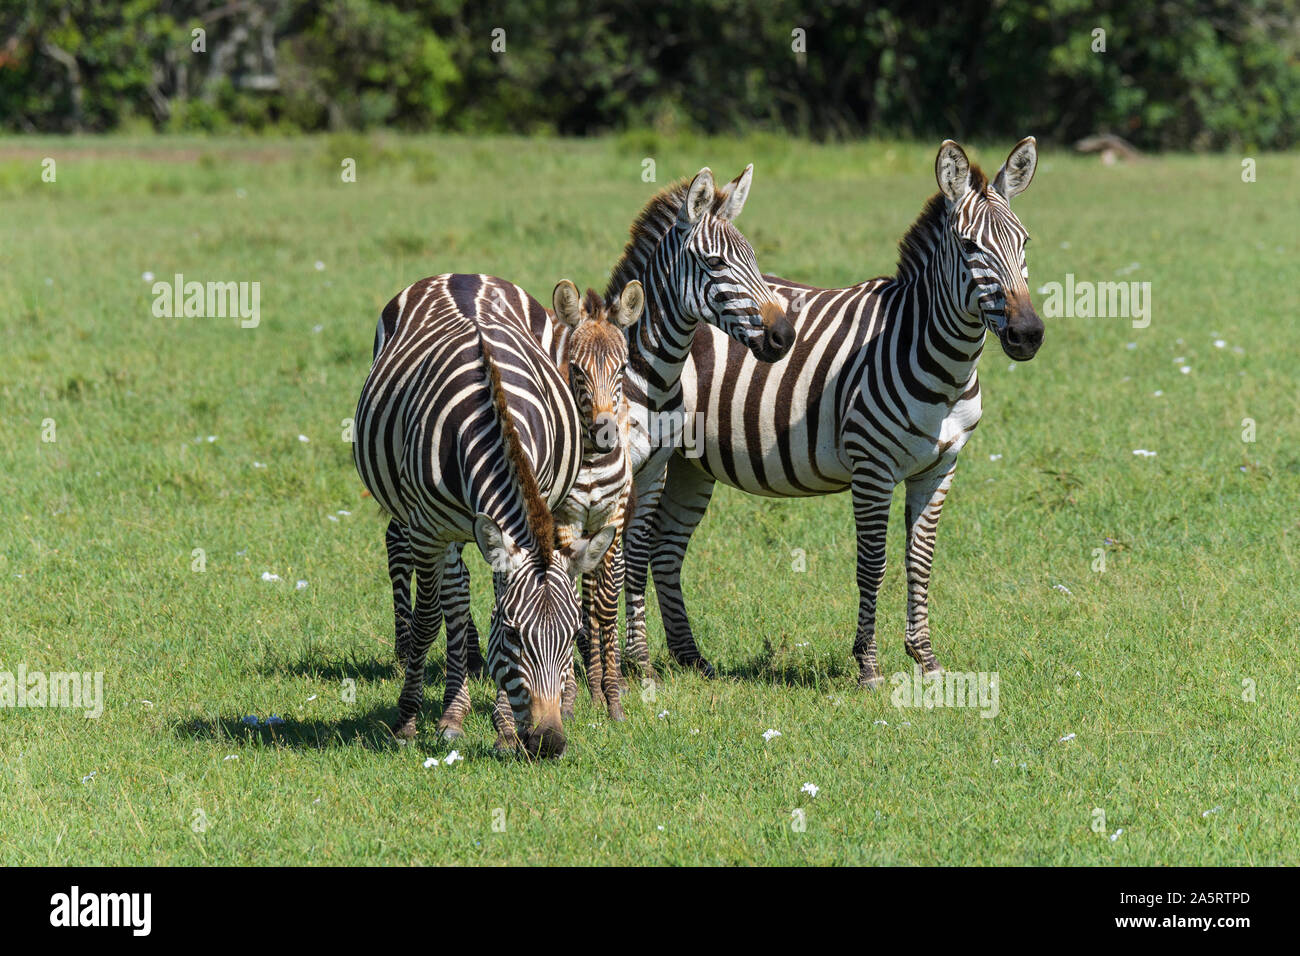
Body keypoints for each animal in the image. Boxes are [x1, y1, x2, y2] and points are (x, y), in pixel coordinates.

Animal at [353, 272, 617, 757]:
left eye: (572, 635)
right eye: (511, 634)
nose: (549, 741)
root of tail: (461, 276)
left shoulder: (536, 508)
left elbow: (494, 597)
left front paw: (505, 730)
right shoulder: (427, 531)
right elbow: (427, 622)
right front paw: (407, 723)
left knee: (458, 590)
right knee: (453, 598)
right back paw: (450, 715)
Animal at [439, 165, 795, 698]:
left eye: (754, 259)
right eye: (715, 263)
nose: (783, 337)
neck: (654, 375)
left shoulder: (652, 471)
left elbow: (633, 554)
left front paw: (636, 663)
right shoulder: (616, 472)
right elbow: (611, 562)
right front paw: (599, 665)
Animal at [623, 138, 1045, 687]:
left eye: (1025, 243)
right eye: (971, 249)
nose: (1028, 334)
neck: (935, 357)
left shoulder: (941, 467)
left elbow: (921, 561)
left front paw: (927, 660)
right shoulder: (872, 468)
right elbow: (873, 564)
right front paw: (869, 666)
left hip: (689, 464)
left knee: (666, 550)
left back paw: (691, 658)